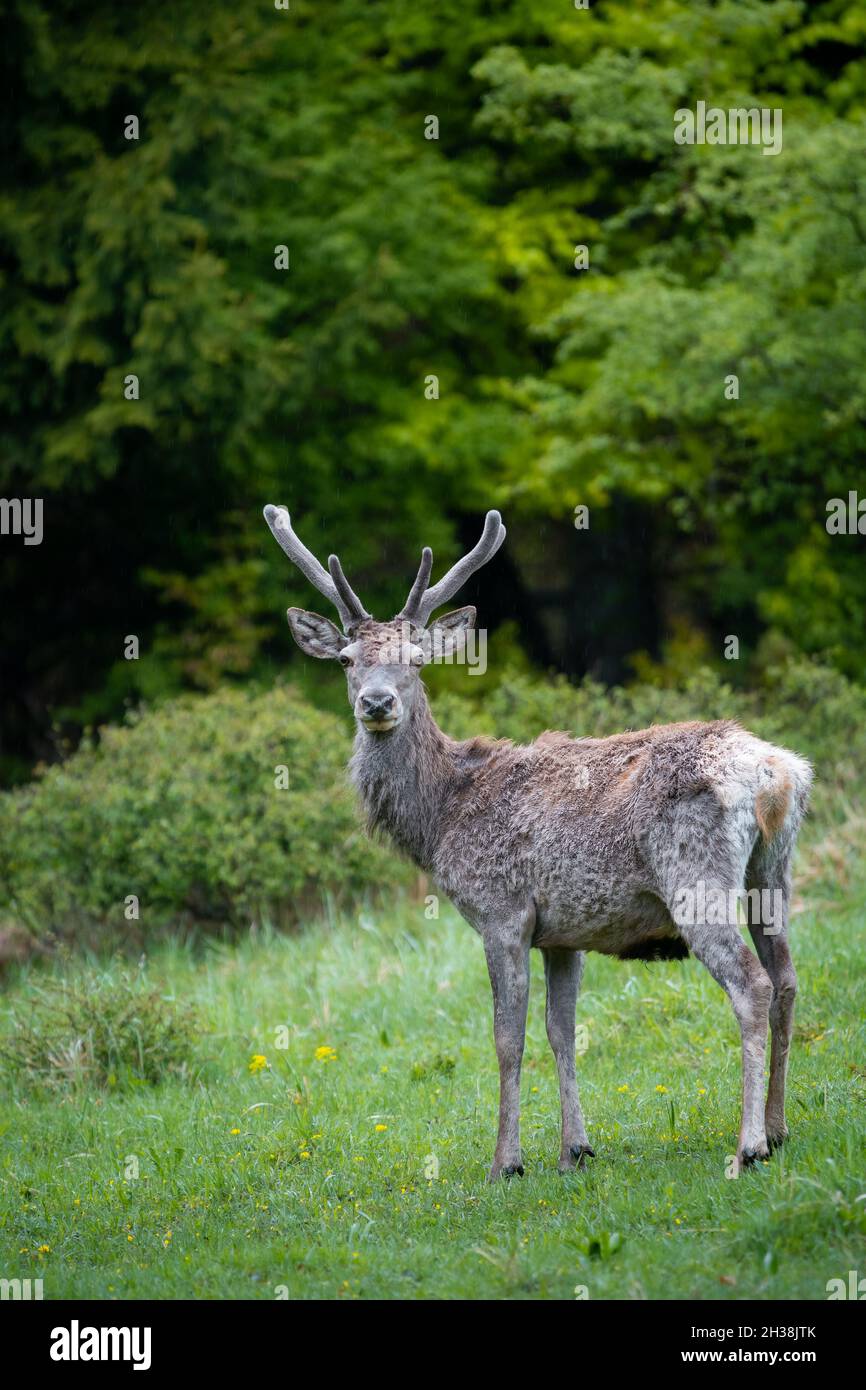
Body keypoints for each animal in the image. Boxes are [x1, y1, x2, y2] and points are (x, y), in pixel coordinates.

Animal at [263, 503, 813, 1180]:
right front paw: (575, 1148)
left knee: (751, 984)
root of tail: (777, 774)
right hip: (773, 873)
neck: (443, 816)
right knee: (786, 978)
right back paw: (779, 1127)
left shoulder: (502, 910)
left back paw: (748, 1144)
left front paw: (507, 1161)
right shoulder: (564, 933)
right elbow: (562, 1030)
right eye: (345, 659)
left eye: (417, 659)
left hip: (696, 877)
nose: (377, 701)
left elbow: (507, 1037)